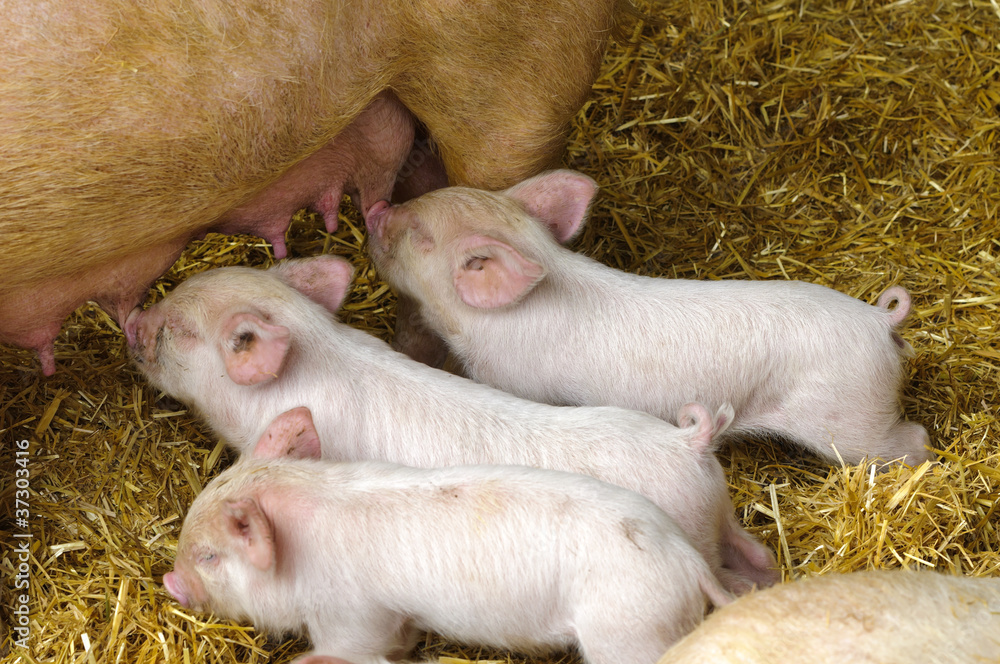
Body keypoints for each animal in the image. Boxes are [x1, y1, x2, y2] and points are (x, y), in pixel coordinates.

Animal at [163, 414, 732, 664]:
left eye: (210, 555)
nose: (171, 581)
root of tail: (688, 561)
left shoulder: (353, 616)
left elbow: (344, 653)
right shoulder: (395, 617)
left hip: (628, 634)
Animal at [363, 170, 932, 467]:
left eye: (420, 235)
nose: (375, 207)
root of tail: (879, 322)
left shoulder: (518, 384)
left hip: (851, 421)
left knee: (911, 441)